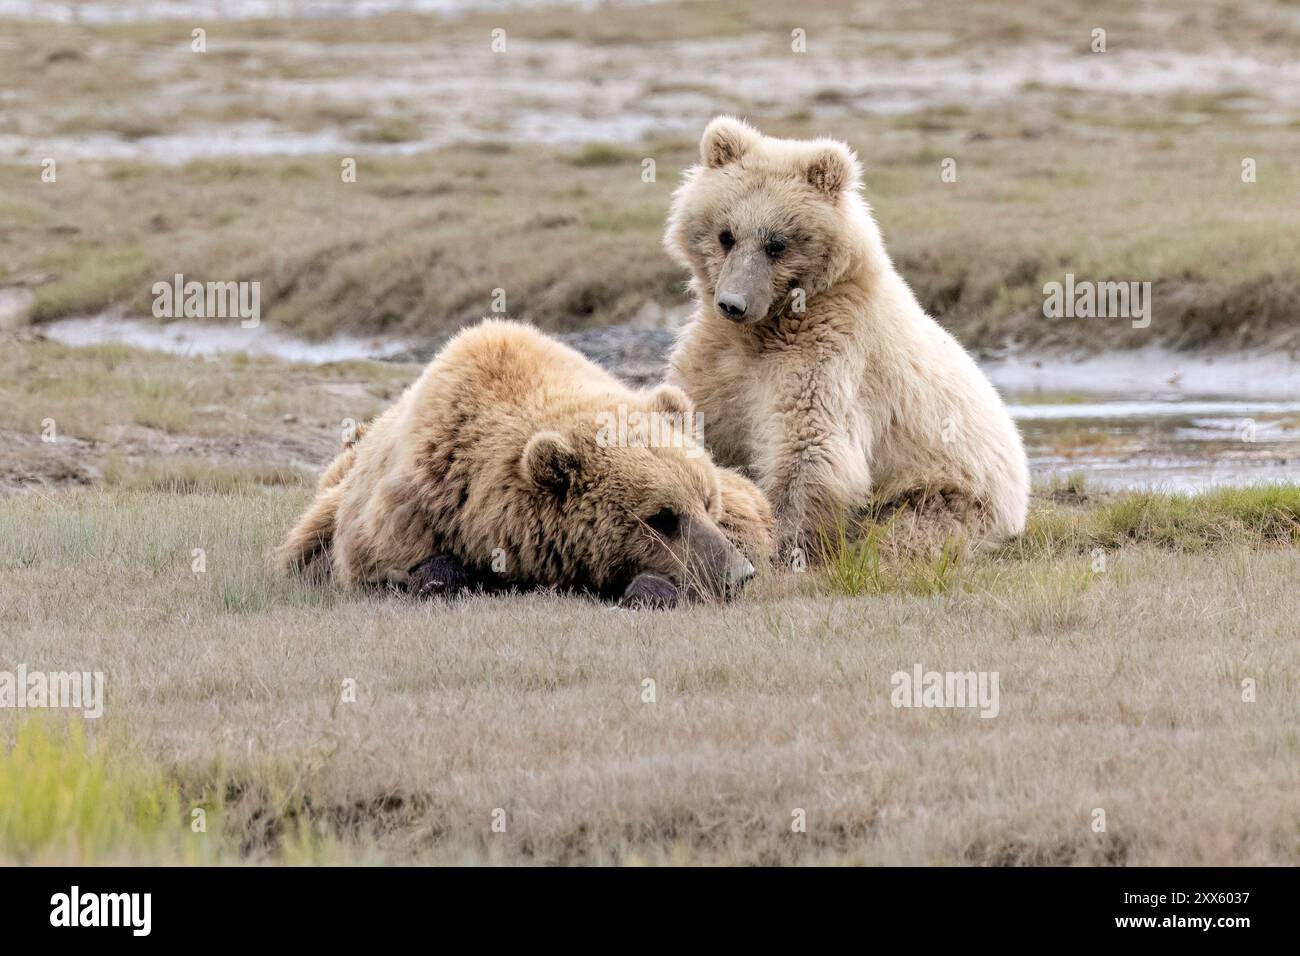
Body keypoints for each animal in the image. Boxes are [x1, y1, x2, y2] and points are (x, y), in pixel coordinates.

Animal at [275, 319, 774, 608]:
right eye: (661, 517)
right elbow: (390, 565)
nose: (737, 575)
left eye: (706, 502)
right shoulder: (408, 511)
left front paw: (653, 588)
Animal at [663, 116, 1030, 558]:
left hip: (950, 495)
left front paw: (783, 539)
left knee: (905, 532)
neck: (769, 326)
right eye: (726, 235)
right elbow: (700, 412)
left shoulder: (832, 352)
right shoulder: (718, 356)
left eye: (776, 243)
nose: (733, 303)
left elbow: (810, 445)